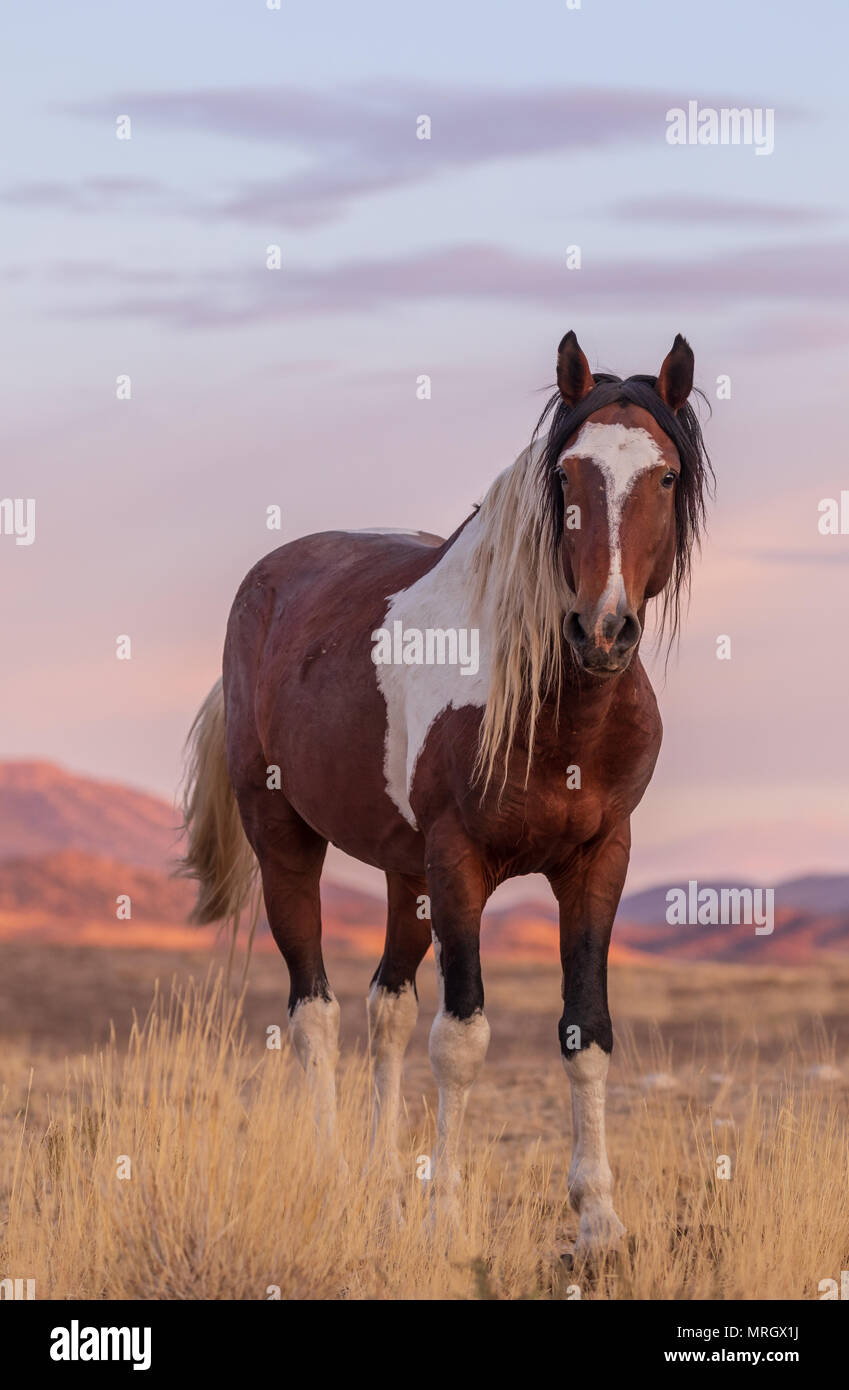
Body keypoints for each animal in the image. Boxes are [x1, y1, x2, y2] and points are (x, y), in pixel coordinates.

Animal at [179, 330, 712, 1255]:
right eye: (565, 475)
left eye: (666, 477)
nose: (602, 630)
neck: (550, 709)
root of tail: (267, 581)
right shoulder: (459, 861)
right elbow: (461, 1038)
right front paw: (448, 1221)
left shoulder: (598, 858)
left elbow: (586, 1031)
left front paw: (599, 1221)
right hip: (287, 840)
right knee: (315, 1010)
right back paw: (334, 1177)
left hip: (406, 876)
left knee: (385, 1008)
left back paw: (384, 1187)